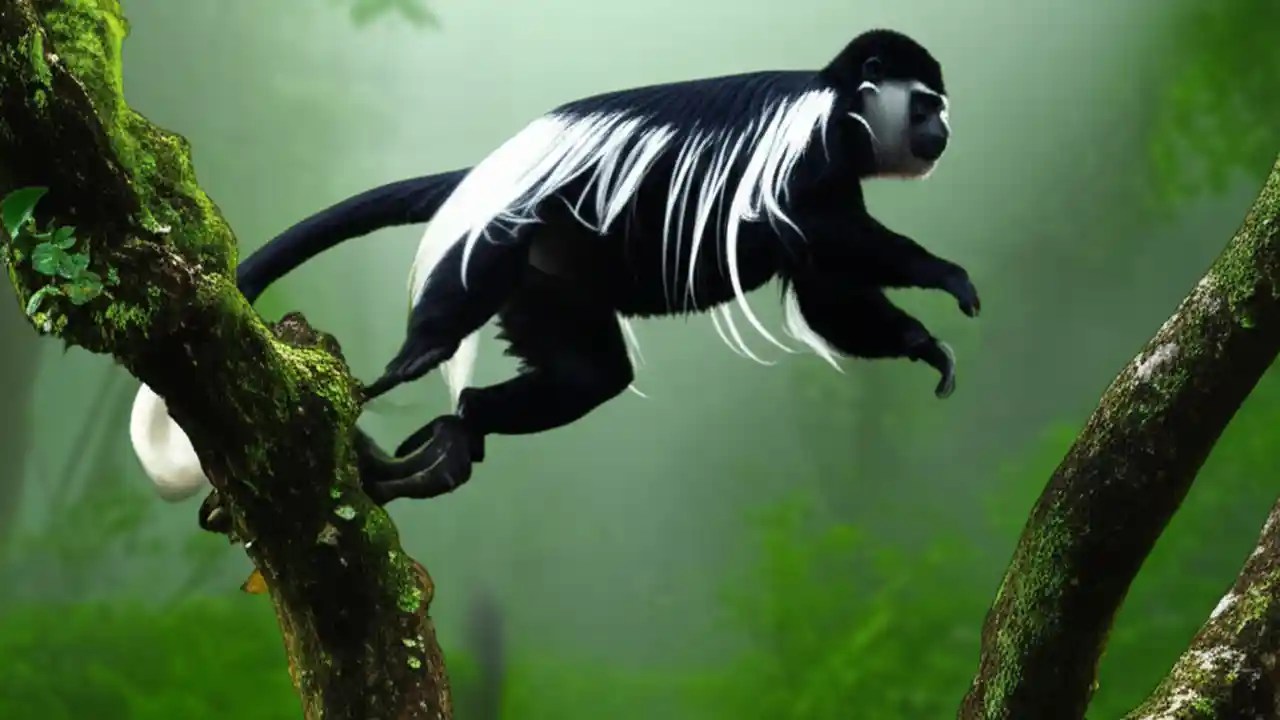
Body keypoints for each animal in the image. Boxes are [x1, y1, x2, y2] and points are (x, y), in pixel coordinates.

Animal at [129, 28, 979, 507]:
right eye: (926, 105)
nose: (942, 133)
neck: (838, 107)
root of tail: (485, 172)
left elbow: (829, 288)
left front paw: (926, 349)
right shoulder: (810, 159)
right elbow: (840, 240)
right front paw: (950, 279)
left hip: (549, 280)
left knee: (585, 373)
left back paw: (456, 434)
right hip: (519, 227)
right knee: (472, 303)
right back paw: (417, 366)